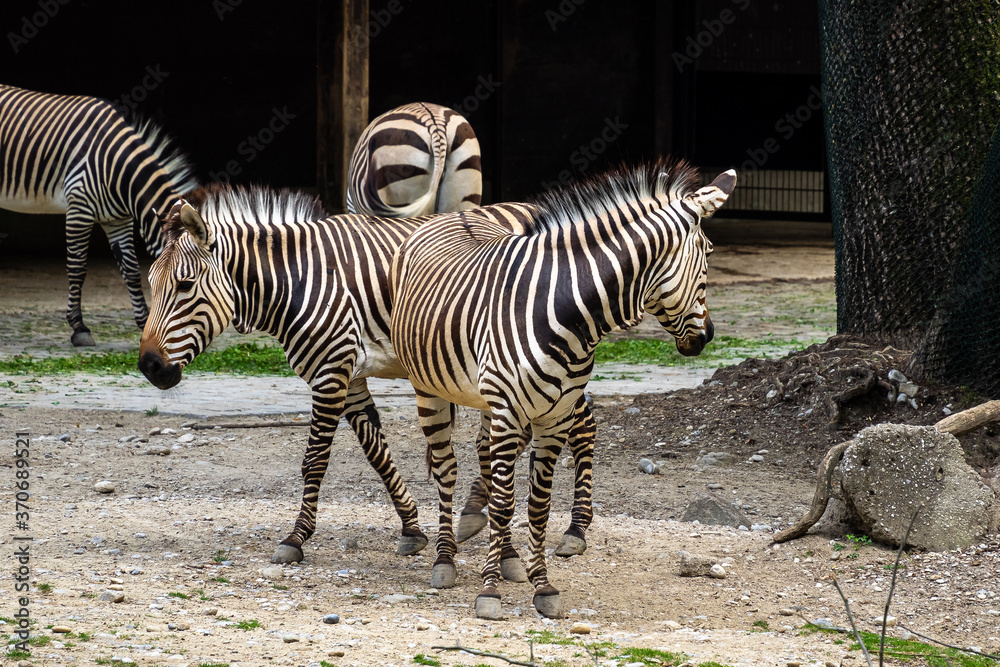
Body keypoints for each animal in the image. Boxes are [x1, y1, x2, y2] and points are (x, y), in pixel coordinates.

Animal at [0, 83, 197, 346]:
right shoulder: (79, 208)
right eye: (186, 282)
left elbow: (131, 270)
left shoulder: (118, 220)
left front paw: (144, 323)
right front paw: (79, 328)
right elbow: (77, 268)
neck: (121, 172)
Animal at [389, 159, 736, 619]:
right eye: (709, 253)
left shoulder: (554, 415)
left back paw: (509, 556)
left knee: (486, 460)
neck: (568, 311)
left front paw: (541, 585)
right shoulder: (511, 409)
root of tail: (456, 213)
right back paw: (445, 559)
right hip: (429, 388)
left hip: (491, 402)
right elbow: (505, 501)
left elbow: (536, 505)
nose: (708, 336)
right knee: (448, 468)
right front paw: (489, 591)